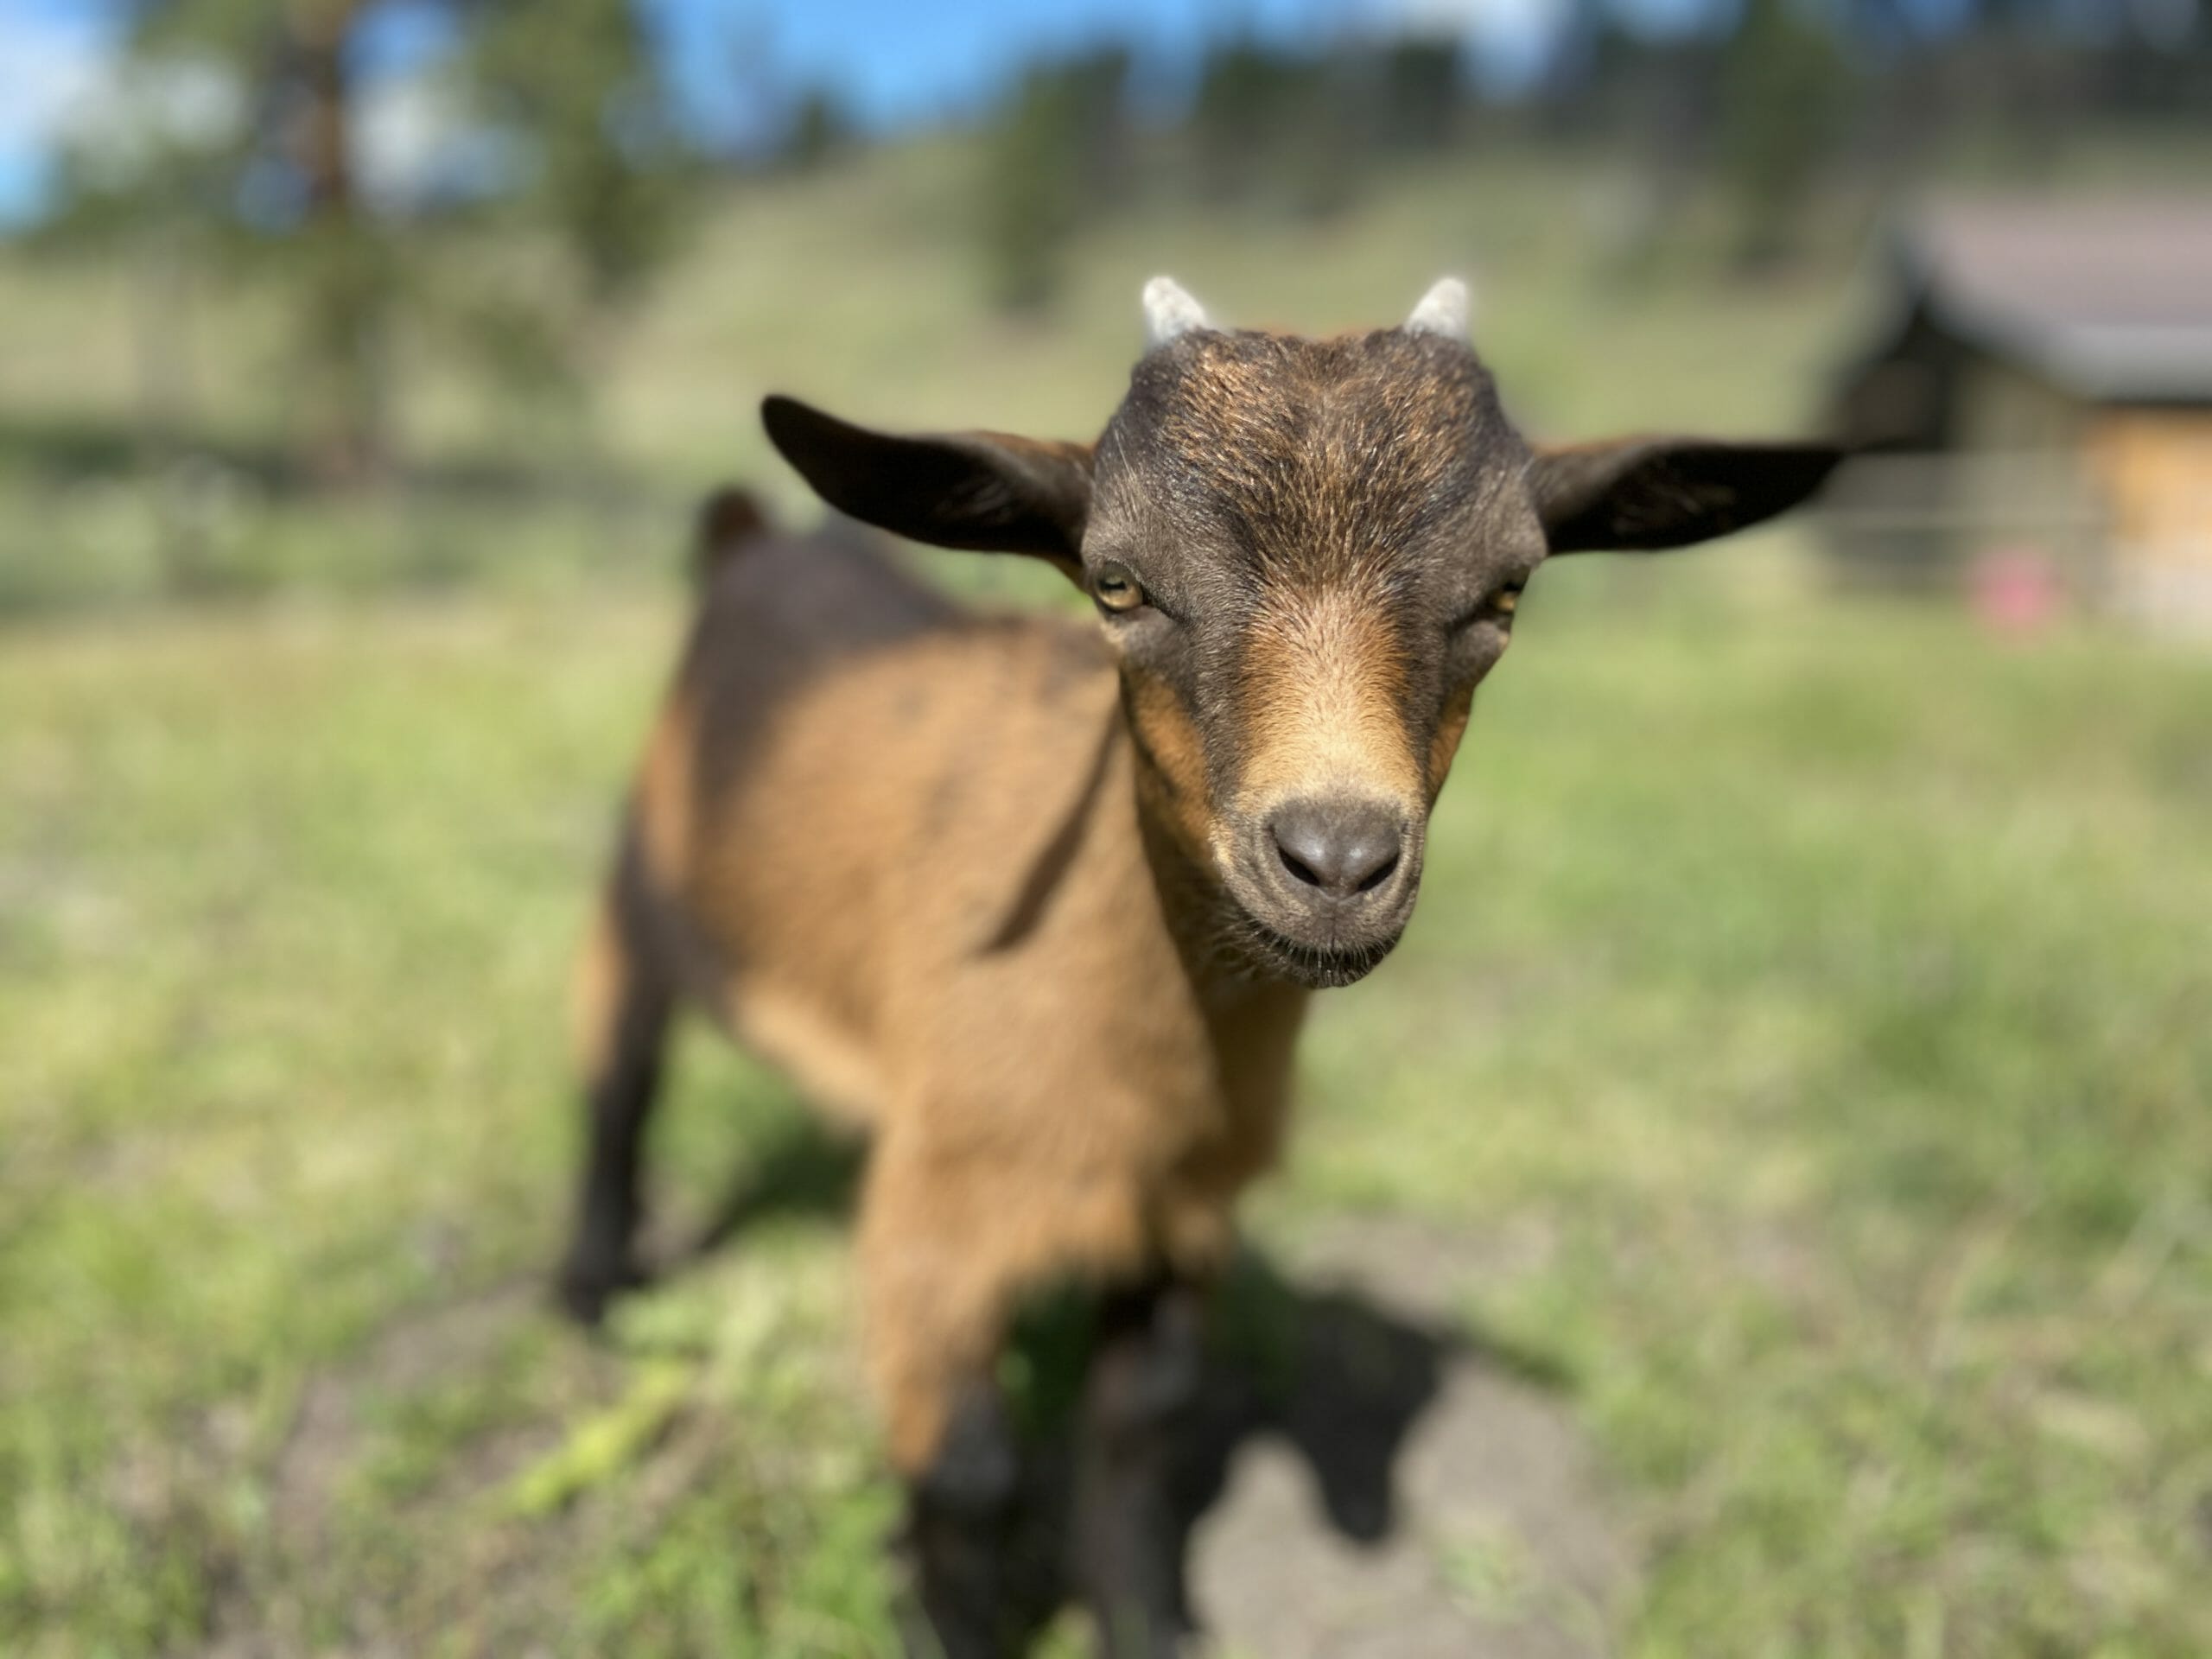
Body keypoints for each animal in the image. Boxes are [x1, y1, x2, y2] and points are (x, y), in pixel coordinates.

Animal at [557, 278, 1840, 1656]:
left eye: (1505, 593)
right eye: (1117, 583)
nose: (1337, 857)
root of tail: (752, 542)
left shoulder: (1188, 1205)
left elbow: (1144, 1423)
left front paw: (1146, 1620)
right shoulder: (936, 1213)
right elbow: (967, 1469)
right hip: (637, 881)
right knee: (618, 1073)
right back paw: (589, 1291)